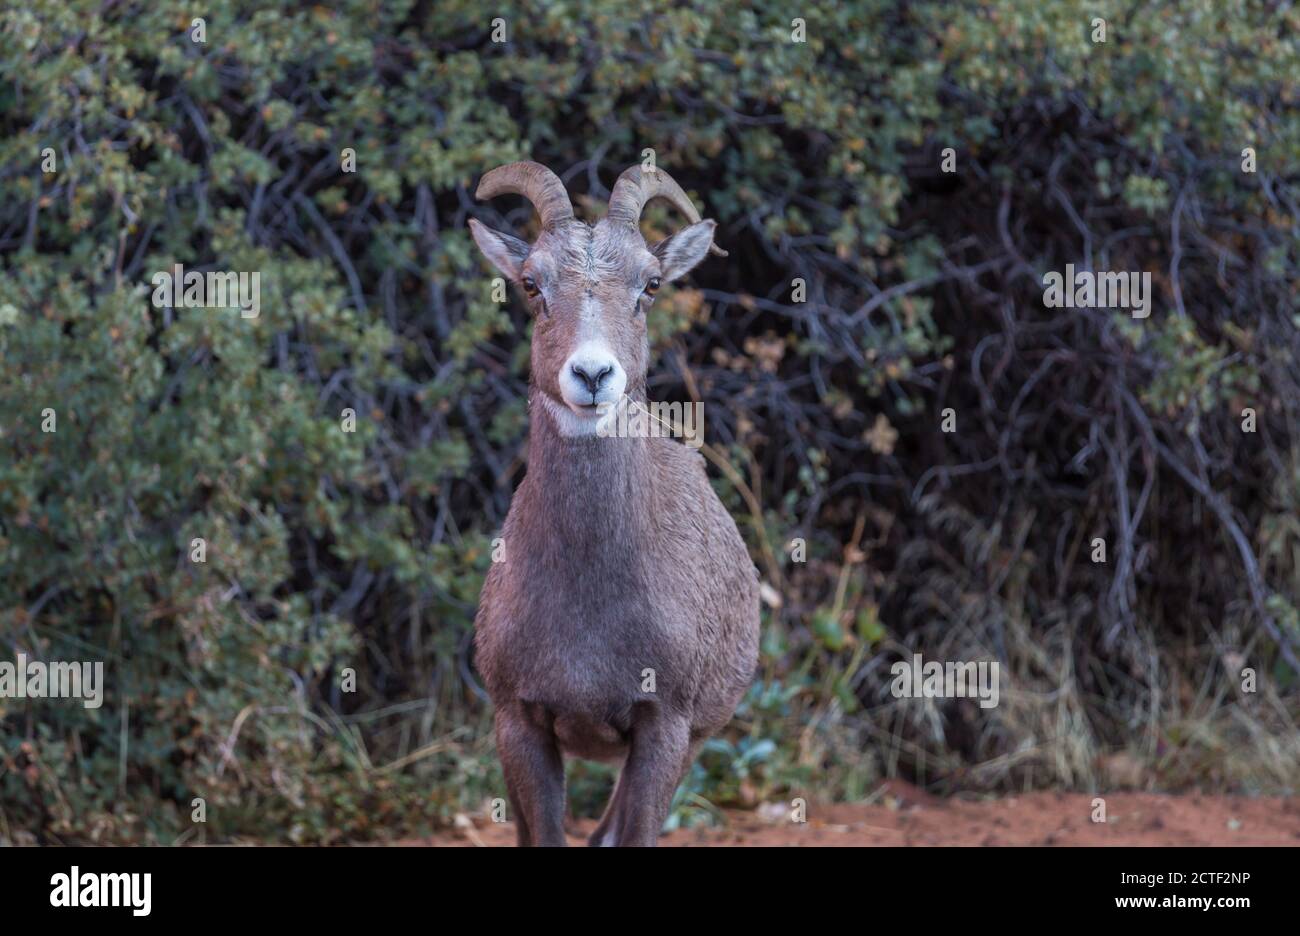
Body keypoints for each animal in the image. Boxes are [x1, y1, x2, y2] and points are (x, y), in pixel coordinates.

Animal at [468, 161, 760, 846]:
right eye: (531, 283)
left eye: (650, 284)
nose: (594, 376)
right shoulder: (518, 723)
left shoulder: (665, 728)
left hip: (691, 744)